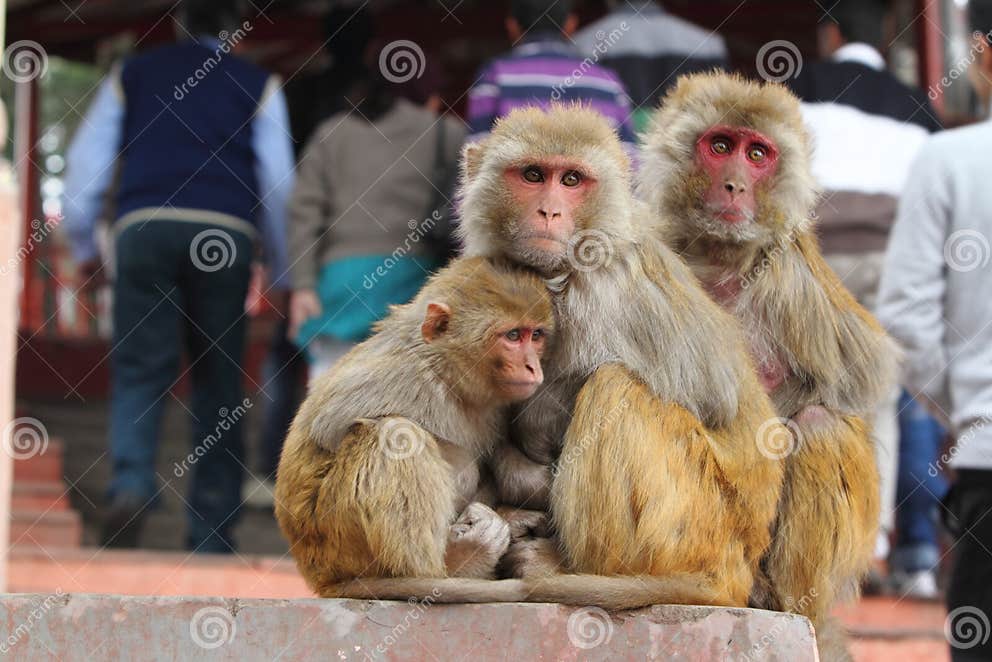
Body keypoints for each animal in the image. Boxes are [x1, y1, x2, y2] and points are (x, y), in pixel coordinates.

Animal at [639, 72, 899, 661]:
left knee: (822, 425)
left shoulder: (791, 276)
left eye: (757, 154)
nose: (735, 185)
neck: (716, 259)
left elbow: (857, 382)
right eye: (720, 146)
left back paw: (779, 598)